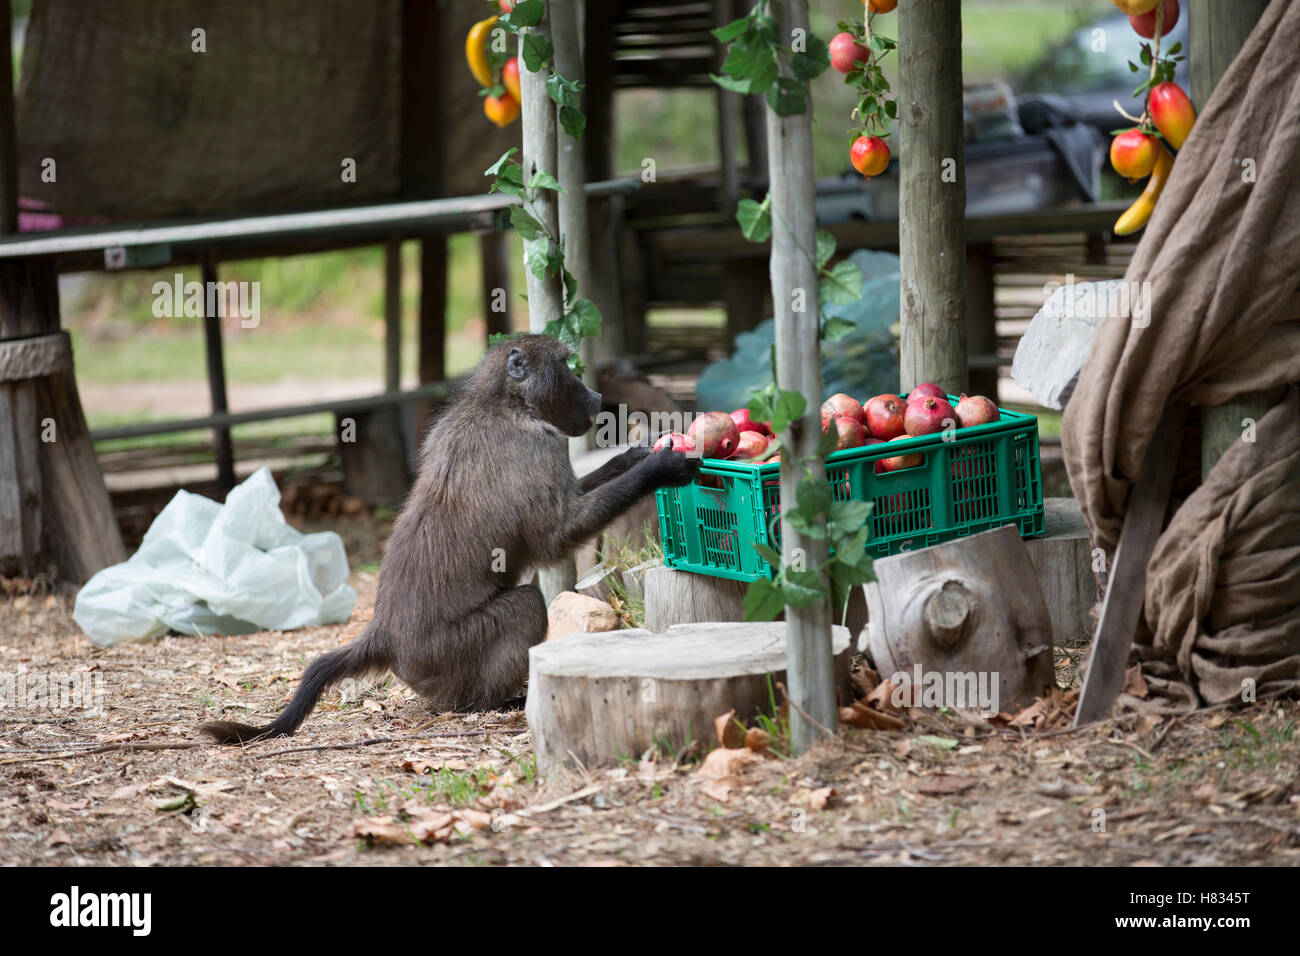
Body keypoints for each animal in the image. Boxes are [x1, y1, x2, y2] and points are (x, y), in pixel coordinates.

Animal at [201, 335, 699, 743]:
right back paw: (496, 703)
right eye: (566, 366)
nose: (595, 396)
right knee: (524, 606)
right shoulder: (538, 447)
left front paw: (637, 454)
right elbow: (555, 536)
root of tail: (384, 631)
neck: (502, 402)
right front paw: (658, 469)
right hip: (443, 655)